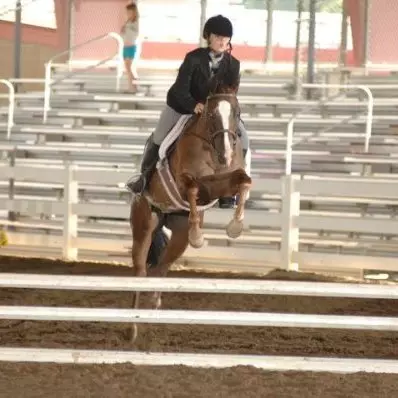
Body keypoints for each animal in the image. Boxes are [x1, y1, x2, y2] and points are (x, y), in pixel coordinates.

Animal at [128, 81, 252, 342]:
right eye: (211, 114)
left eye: (237, 113)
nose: (225, 155)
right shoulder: (188, 182)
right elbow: (193, 187)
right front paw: (198, 236)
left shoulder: (223, 182)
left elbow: (244, 180)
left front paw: (235, 227)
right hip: (144, 224)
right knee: (141, 272)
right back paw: (132, 328)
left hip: (178, 237)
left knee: (160, 270)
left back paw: (151, 316)